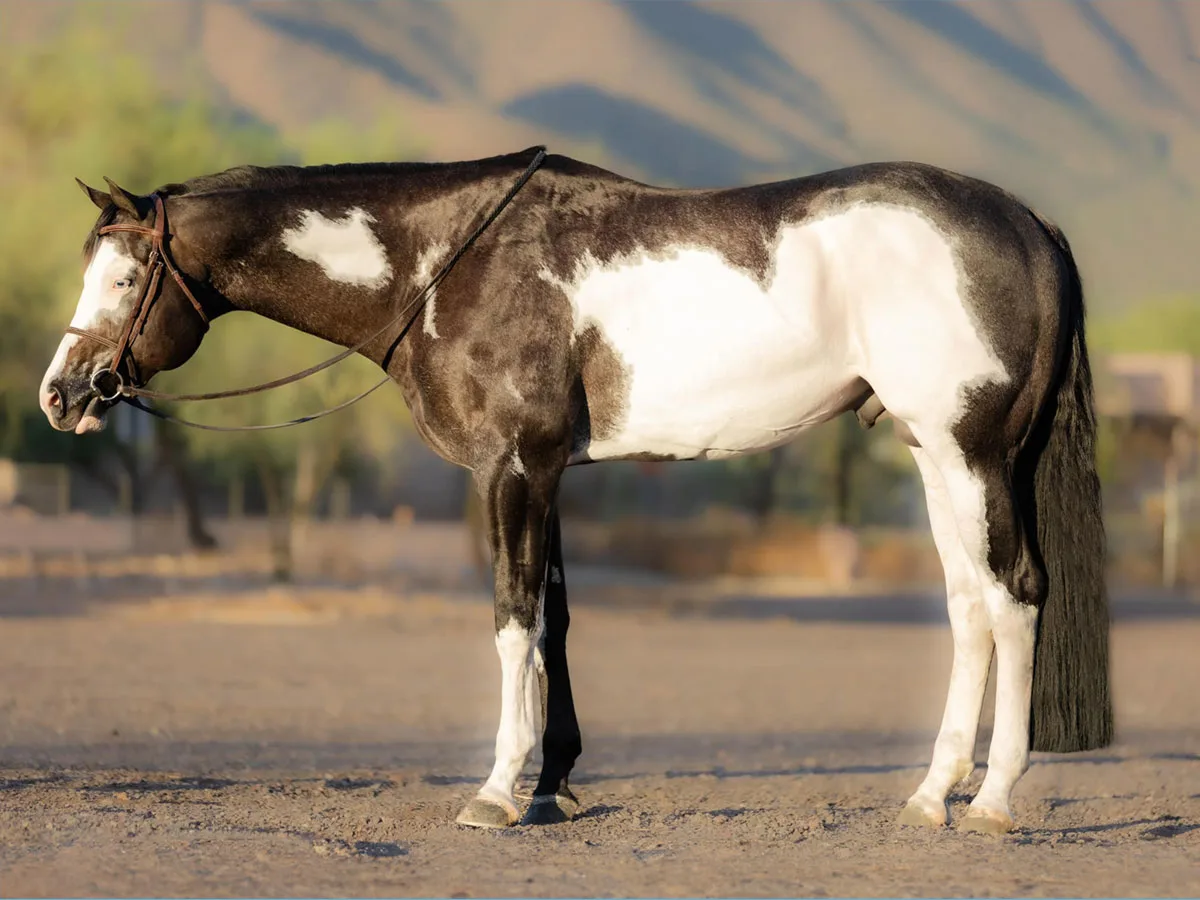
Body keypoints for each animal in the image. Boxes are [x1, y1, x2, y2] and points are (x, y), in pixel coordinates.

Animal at [40, 145, 1111, 834]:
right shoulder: (545, 473)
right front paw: (550, 785)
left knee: (1013, 597)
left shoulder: (513, 469)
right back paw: (931, 797)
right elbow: (552, 622)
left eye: (128, 275)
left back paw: (994, 803)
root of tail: (1027, 223)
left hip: (972, 453)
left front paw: (495, 792)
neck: (447, 264)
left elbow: (513, 618)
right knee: (968, 607)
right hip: (935, 455)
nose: (62, 394)